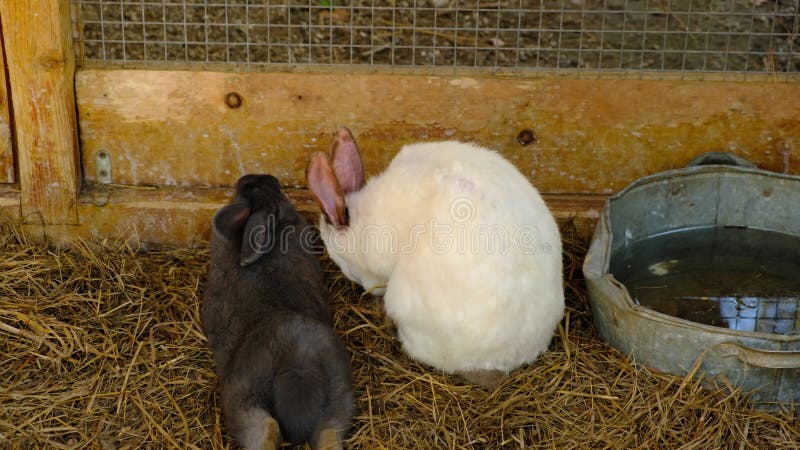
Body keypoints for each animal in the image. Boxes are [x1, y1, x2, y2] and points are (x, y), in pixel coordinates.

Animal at [202, 174, 354, 450]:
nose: (251, 177)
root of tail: (301, 361)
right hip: (340, 394)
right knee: (328, 434)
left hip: (245, 395)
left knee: (266, 429)